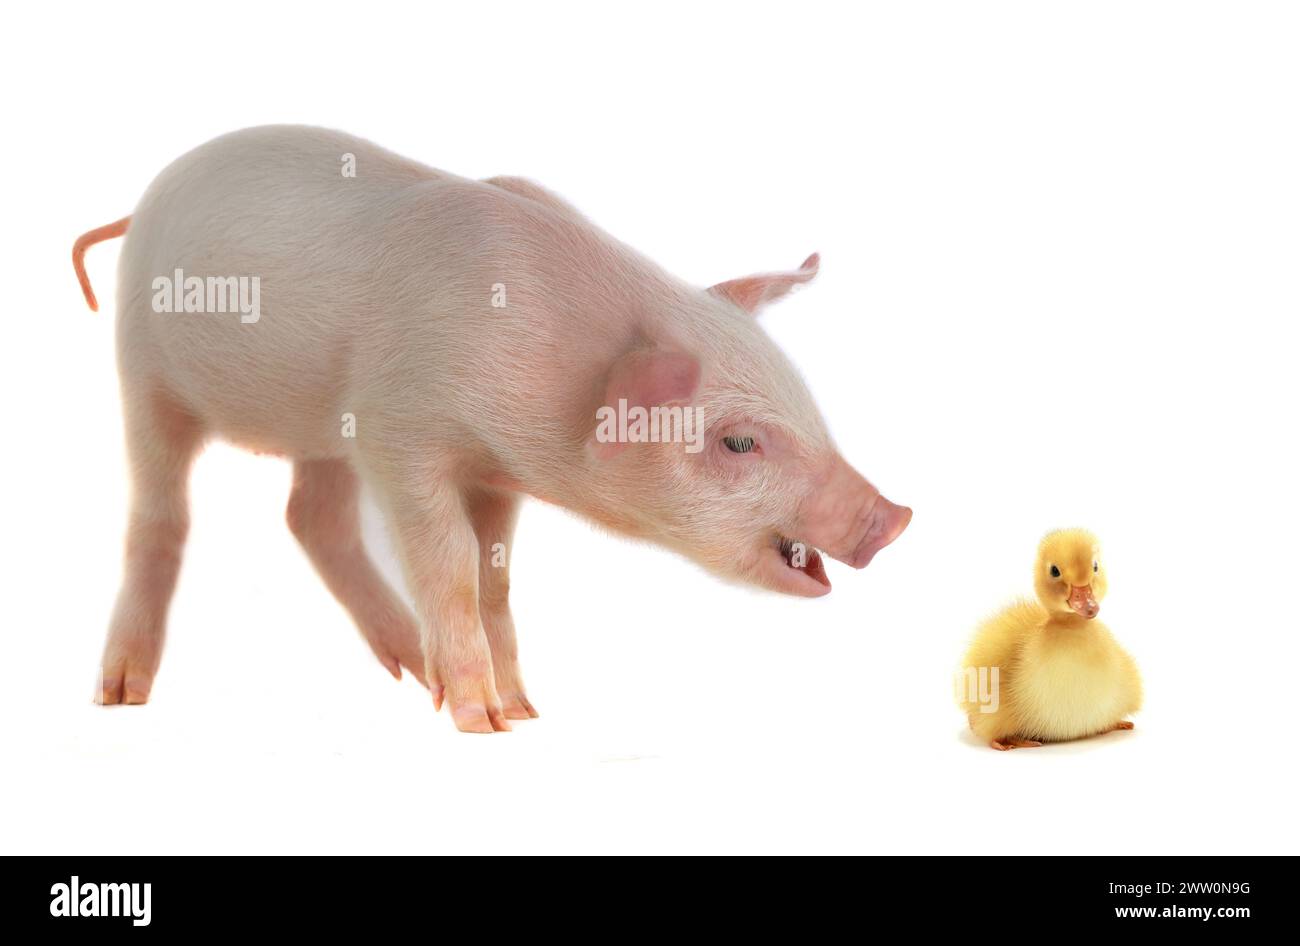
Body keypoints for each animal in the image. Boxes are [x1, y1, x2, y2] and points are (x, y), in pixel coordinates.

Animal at [73, 125, 911, 733]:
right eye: (739, 441)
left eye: (808, 404)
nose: (894, 516)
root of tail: (142, 201)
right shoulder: (400, 432)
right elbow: (448, 563)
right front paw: (481, 722)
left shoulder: (494, 474)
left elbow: (495, 578)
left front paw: (526, 713)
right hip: (140, 367)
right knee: (160, 514)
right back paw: (122, 696)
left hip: (320, 429)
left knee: (311, 517)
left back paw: (410, 670)